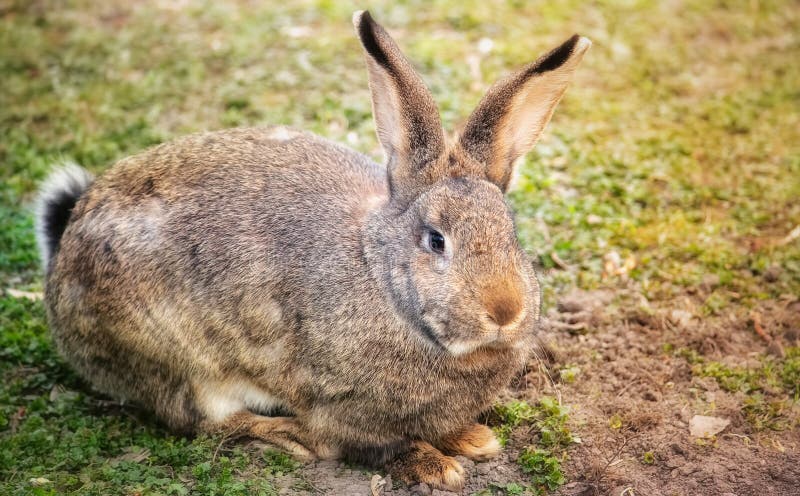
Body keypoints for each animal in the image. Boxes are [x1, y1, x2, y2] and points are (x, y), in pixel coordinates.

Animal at [35, 10, 590, 491]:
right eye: (435, 240)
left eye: (510, 232)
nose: (505, 311)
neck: (382, 281)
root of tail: (63, 254)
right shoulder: (337, 406)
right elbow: (372, 445)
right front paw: (436, 465)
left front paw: (472, 438)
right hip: (179, 361)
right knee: (199, 420)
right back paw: (283, 434)